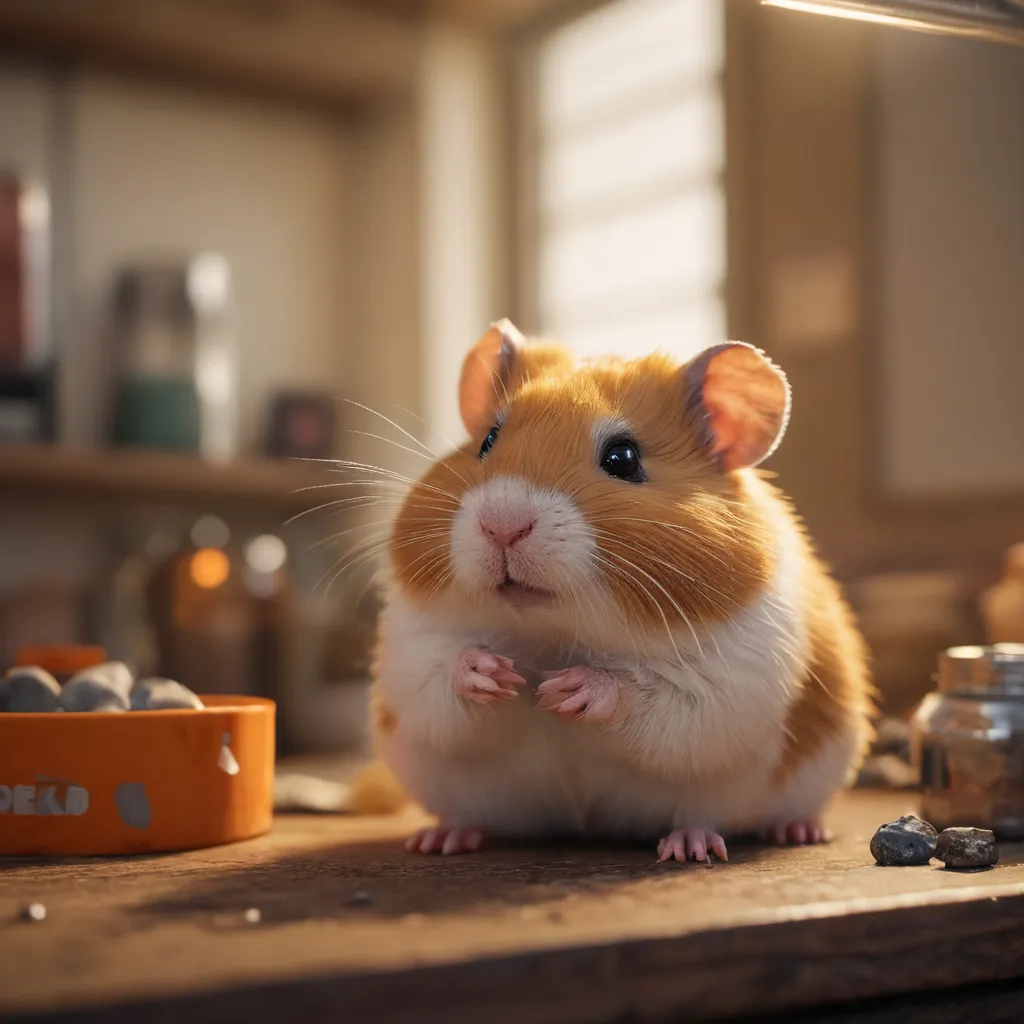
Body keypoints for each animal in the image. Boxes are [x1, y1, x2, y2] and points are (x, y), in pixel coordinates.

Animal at [366, 320, 875, 861]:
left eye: (624, 458)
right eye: (487, 440)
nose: (502, 526)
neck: (552, 631)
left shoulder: (729, 680)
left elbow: (649, 695)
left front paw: (566, 690)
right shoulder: (413, 653)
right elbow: (444, 678)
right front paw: (495, 673)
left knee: (722, 816)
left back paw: (730, 841)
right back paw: (442, 839)